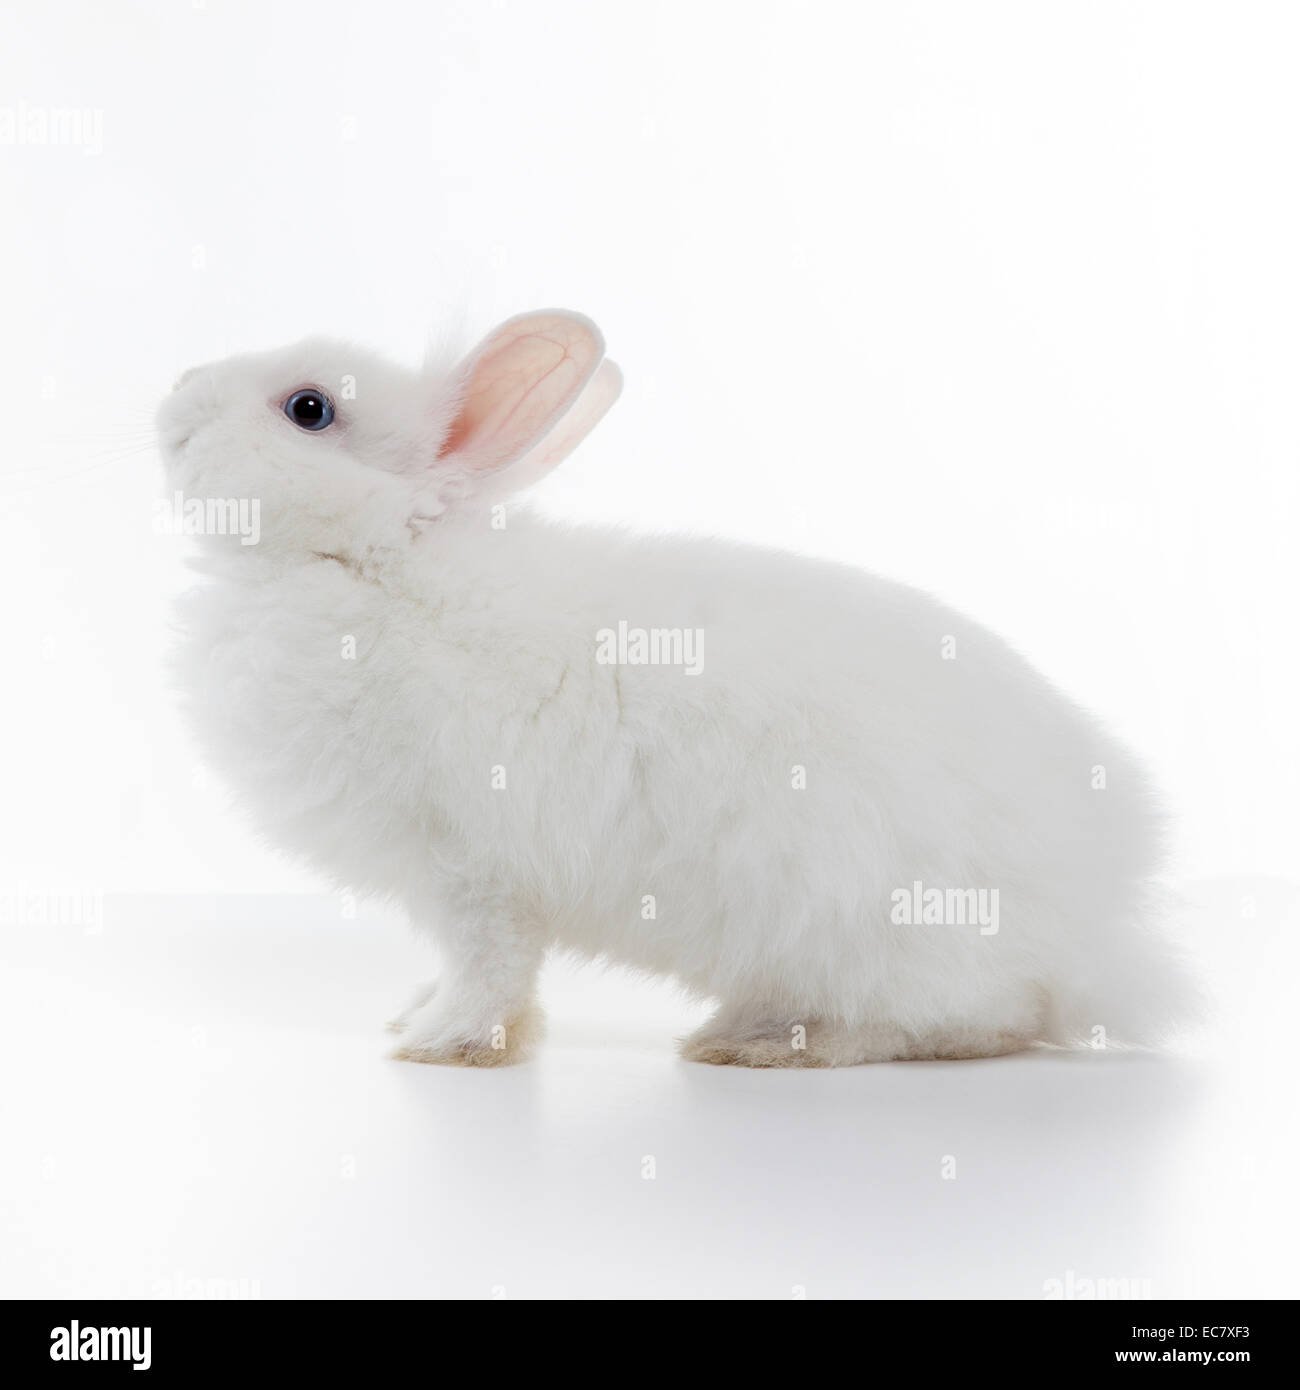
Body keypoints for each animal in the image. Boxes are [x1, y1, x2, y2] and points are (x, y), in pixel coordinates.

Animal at [156, 308, 1196, 1068]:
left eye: (309, 409)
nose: (172, 395)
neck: (381, 563)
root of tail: (1094, 932)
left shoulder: (475, 873)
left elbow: (490, 969)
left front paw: (439, 1042)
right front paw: (415, 1015)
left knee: (974, 1019)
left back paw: (765, 1042)